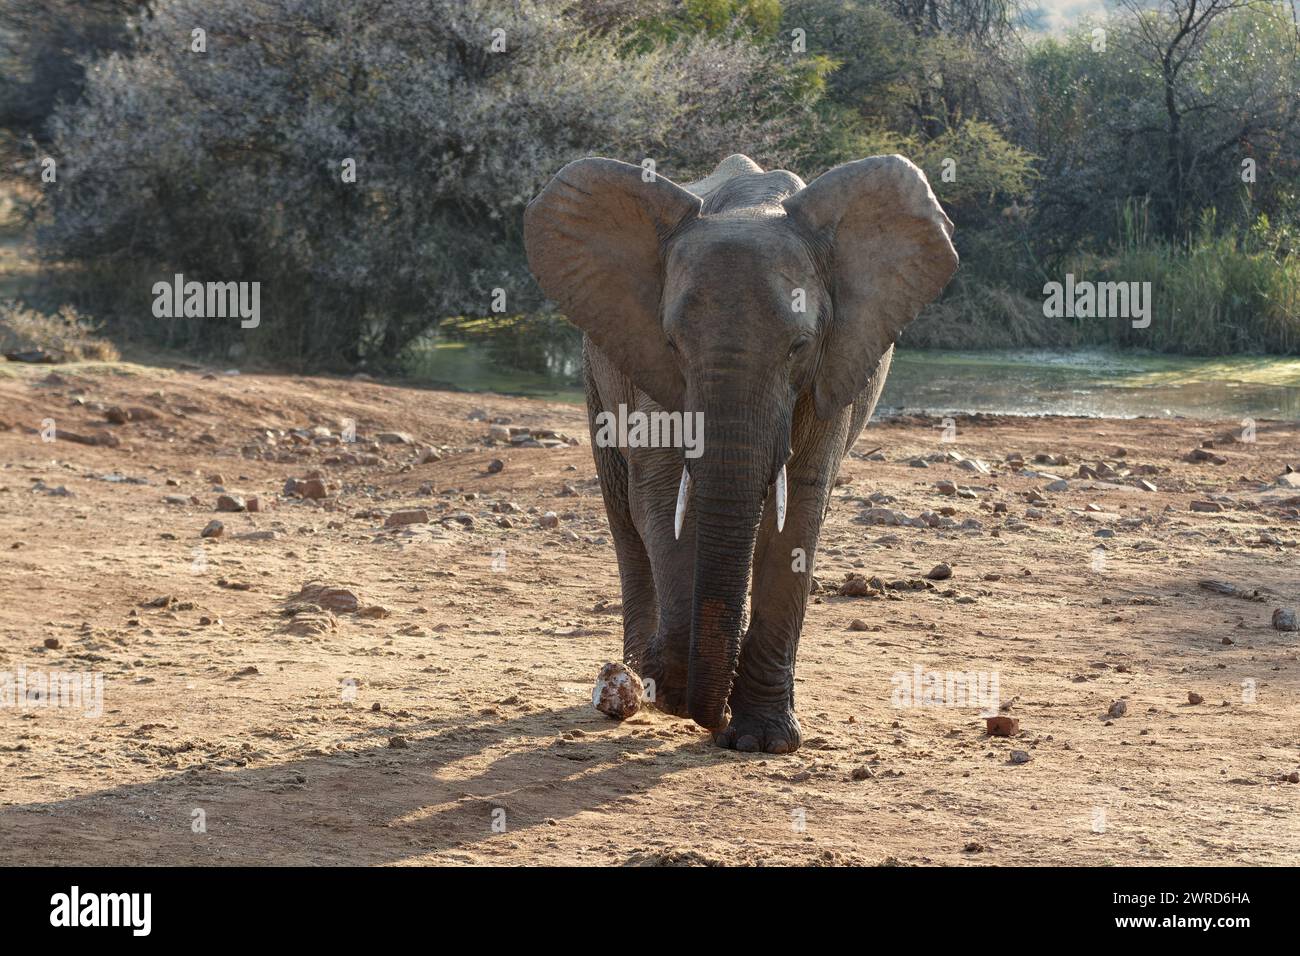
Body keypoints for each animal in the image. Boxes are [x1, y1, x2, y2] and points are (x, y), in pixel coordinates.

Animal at [523, 153, 957, 753]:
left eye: (799, 346)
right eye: (673, 342)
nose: (709, 716)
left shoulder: (834, 366)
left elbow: (799, 510)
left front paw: (761, 740)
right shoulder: (649, 361)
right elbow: (660, 494)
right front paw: (673, 684)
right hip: (597, 364)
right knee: (621, 506)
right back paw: (640, 672)